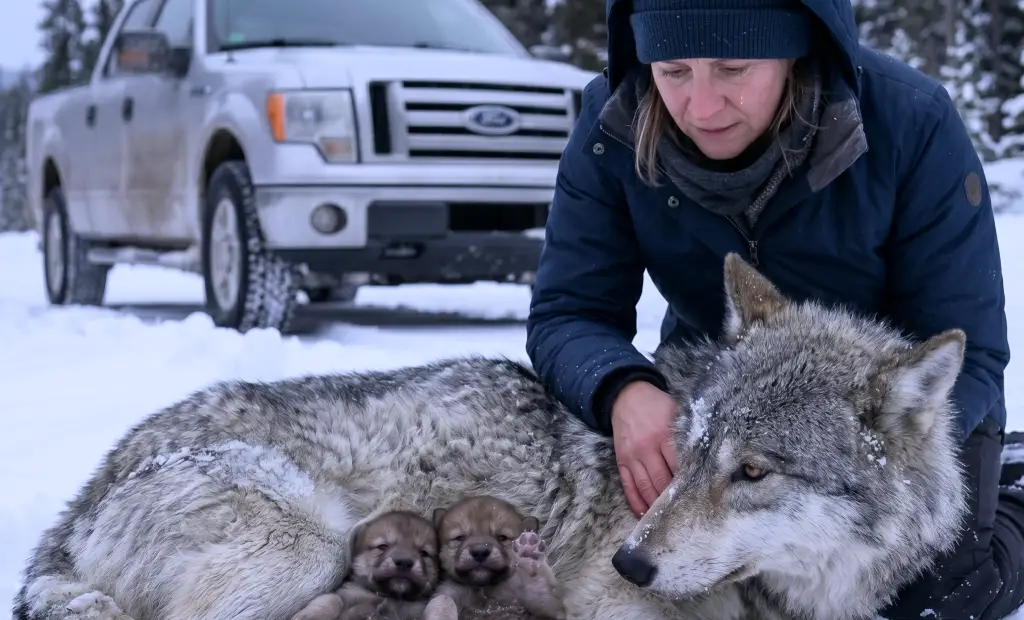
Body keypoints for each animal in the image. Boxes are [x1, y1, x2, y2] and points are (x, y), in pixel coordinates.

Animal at [12, 254, 967, 620]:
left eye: (755, 471)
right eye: (688, 449)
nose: (630, 559)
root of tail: (81, 500)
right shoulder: (611, 610)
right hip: (300, 551)